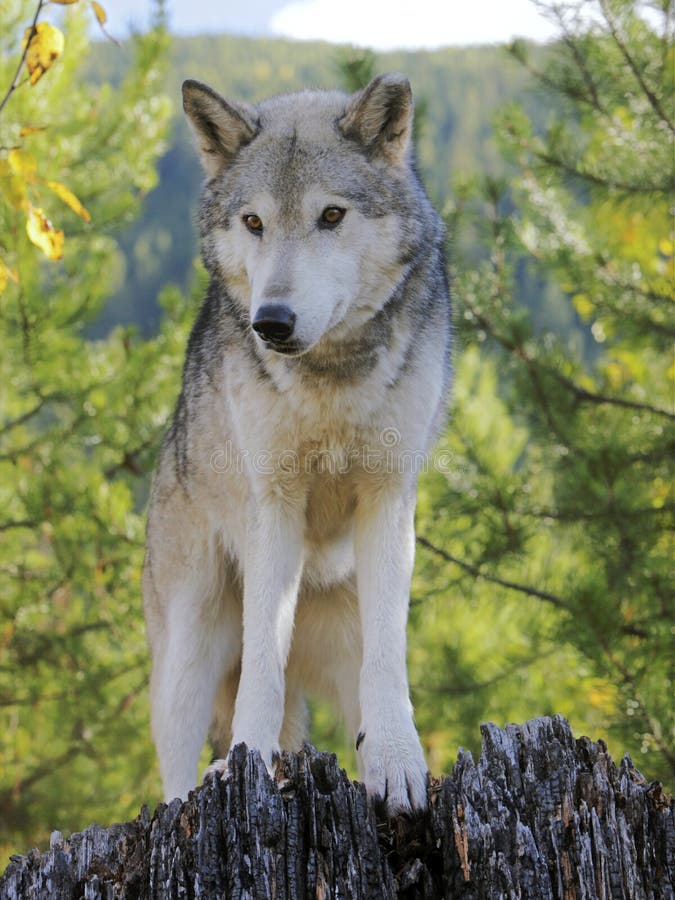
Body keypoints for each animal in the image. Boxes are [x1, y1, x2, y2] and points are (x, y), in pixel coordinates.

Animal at [143, 73, 452, 814]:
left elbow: (390, 661)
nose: (271, 322)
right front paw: (246, 766)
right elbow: (263, 661)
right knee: (176, 770)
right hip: (189, 652)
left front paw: (400, 764)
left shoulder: (388, 497)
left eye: (331, 216)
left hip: (339, 640)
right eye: (254, 222)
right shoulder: (273, 506)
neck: (329, 376)